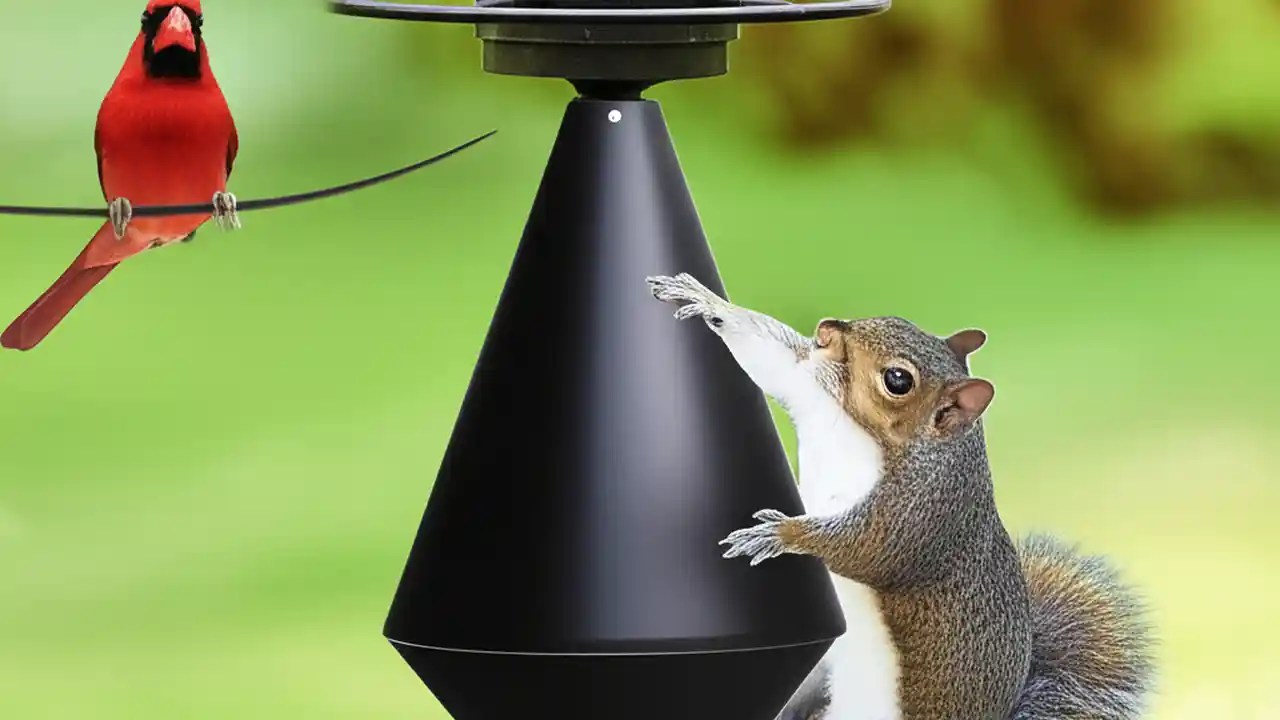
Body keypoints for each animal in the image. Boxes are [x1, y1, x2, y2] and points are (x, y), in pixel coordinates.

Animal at [646, 273, 1155, 720]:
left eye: (898, 380)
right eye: (891, 317)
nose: (827, 329)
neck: (864, 433)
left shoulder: (917, 511)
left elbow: (865, 548)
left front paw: (779, 533)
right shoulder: (815, 388)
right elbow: (775, 359)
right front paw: (705, 299)